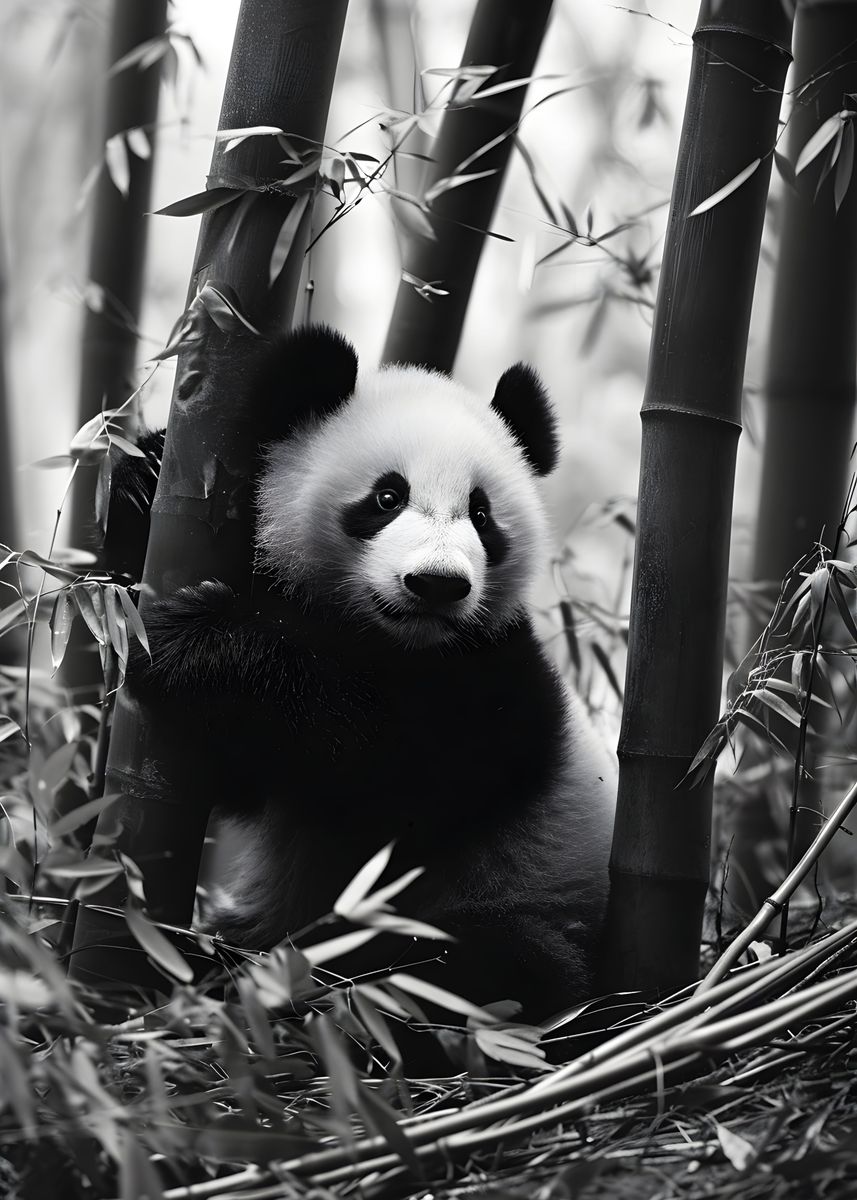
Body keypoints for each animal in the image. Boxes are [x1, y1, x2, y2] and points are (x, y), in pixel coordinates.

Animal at [110, 325, 616, 1026]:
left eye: (481, 515)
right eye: (387, 497)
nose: (438, 584)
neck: (391, 641)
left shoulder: (498, 677)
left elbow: (400, 770)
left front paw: (189, 641)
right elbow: (242, 775)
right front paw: (141, 479)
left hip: (529, 904)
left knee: (483, 966)